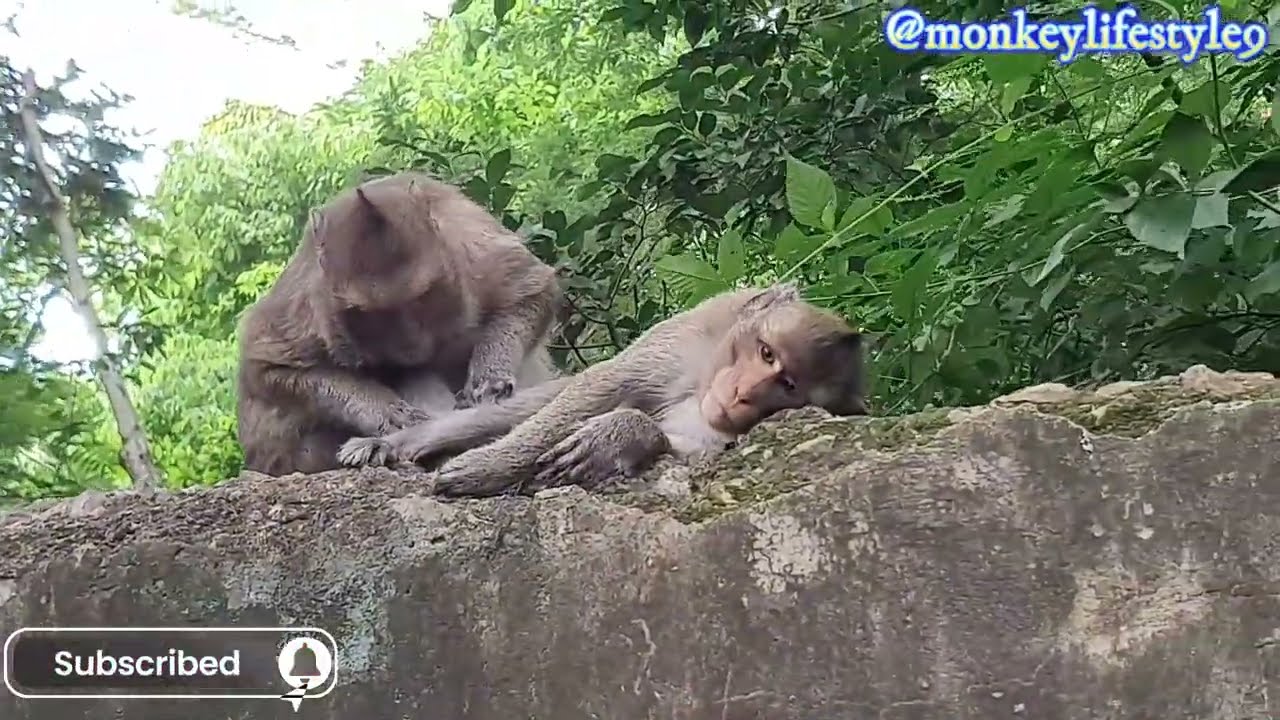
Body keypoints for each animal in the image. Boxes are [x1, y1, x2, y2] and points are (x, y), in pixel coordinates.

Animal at [235, 170, 562, 476]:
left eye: (420, 299)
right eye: (370, 316)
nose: (409, 345)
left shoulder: (466, 240)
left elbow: (531, 290)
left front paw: (489, 378)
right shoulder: (309, 300)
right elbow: (270, 368)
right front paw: (387, 413)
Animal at [336, 282, 869, 497]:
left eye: (788, 385)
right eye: (765, 353)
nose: (742, 396)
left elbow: (689, 453)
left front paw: (618, 436)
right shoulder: (685, 338)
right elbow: (600, 385)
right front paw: (485, 469)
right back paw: (400, 443)